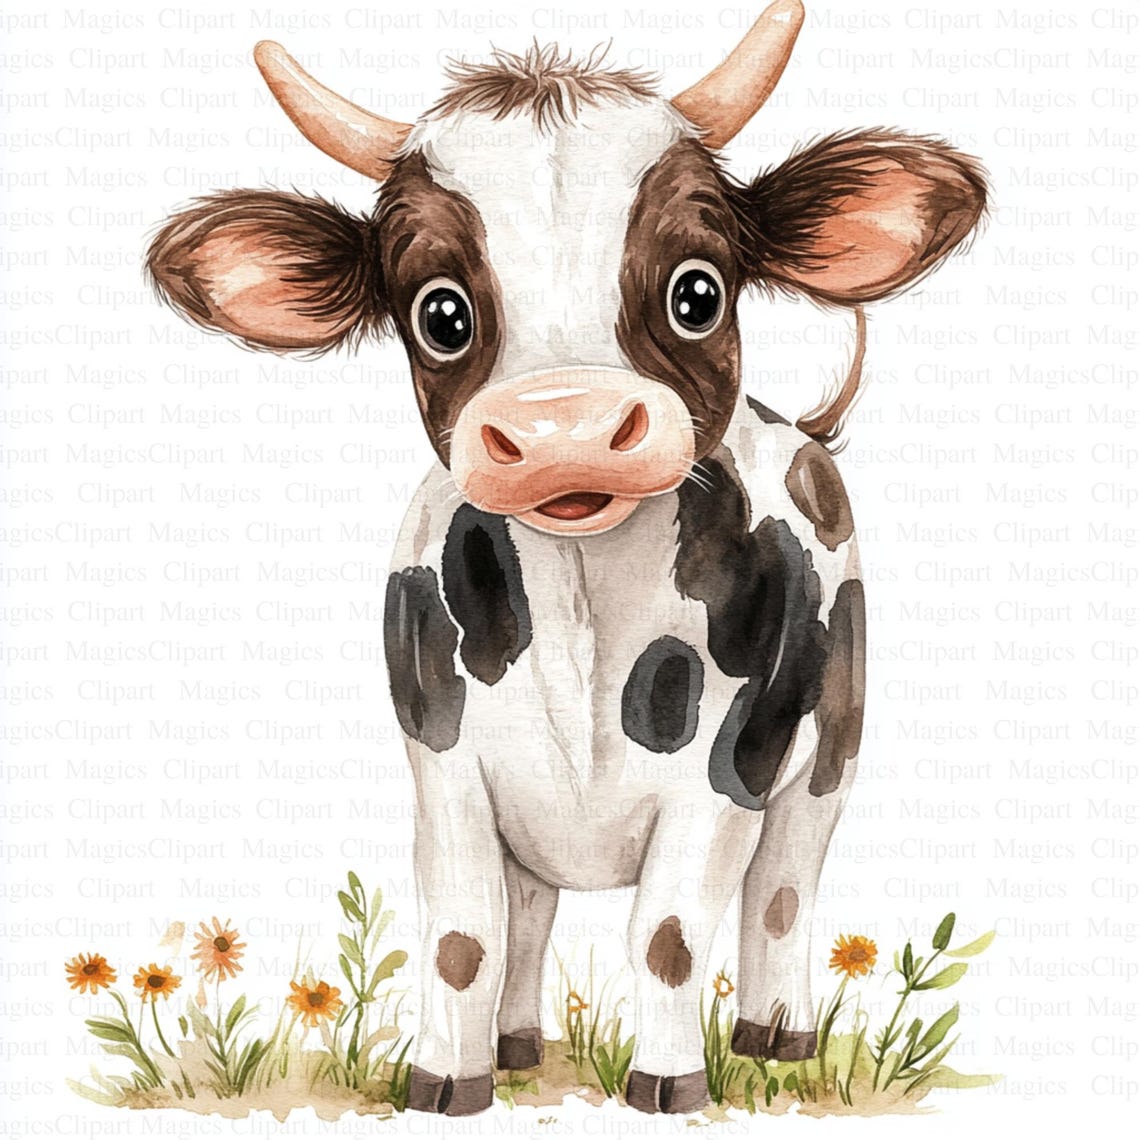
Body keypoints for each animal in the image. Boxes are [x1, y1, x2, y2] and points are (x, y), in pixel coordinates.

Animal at [145, 0, 987, 1116]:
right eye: (440, 312)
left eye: (696, 292)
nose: (565, 428)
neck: (585, 624)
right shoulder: (446, 770)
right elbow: (465, 937)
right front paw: (445, 1079)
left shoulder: (724, 777)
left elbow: (669, 936)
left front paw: (669, 1081)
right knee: (535, 911)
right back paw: (514, 1046)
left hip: (831, 746)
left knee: (784, 890)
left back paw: (776, 1038)